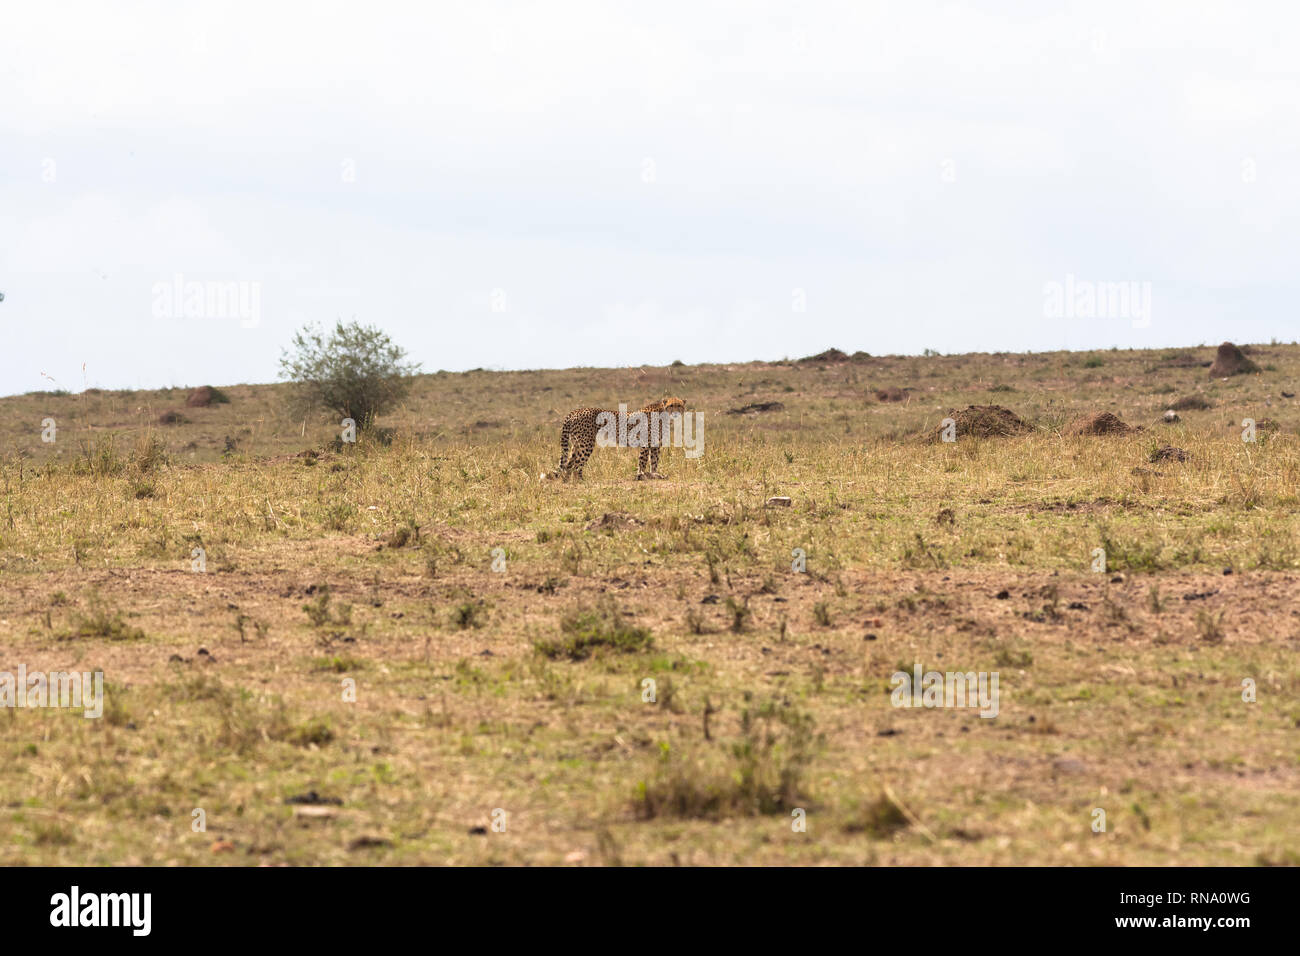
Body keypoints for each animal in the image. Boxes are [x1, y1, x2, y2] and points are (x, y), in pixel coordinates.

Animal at [548, 397, 687, 481]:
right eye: (671, 405)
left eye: (679, 405)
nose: (675, 413)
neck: (663, 414)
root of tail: (576, 411)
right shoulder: (645, 443)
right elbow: (642, 461)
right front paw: (641, 475)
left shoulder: (655, 445)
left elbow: (654, 462)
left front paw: (654, 474)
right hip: (586, 444)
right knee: (576, 464)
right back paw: (580, 480)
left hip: (576, 444)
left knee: (568, 465)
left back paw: (568, 480)